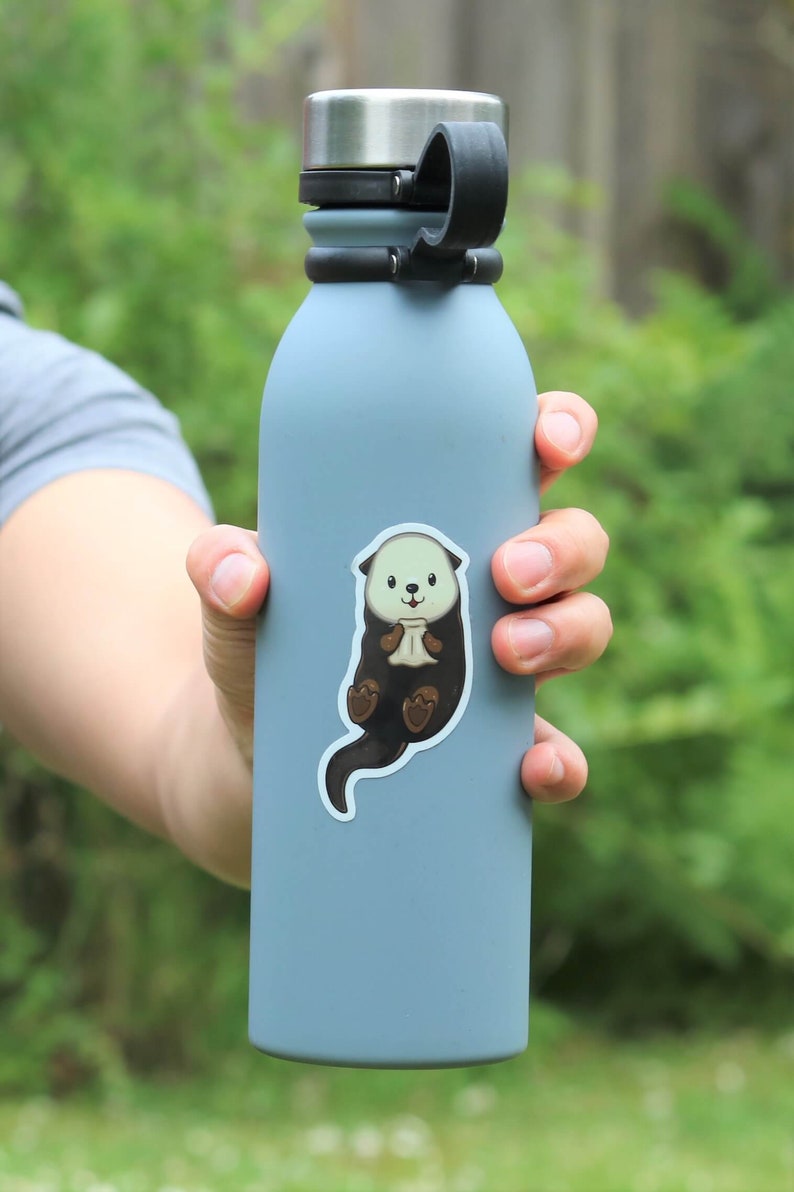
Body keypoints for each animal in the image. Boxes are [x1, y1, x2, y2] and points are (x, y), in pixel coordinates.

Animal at [320, 529, 471, 821]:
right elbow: (383, 640)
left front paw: (427, 639)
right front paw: (397, 633)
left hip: (441, 689)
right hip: (371, 672)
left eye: (432, 578)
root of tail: (389, 732)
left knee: (427, 708)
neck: (412, 623)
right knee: (365, 701)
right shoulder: (376, 628)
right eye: (390, 581)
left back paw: (418, 708)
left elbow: (440, 643)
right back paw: (363, 698)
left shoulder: (449, 628)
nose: (412, 587)